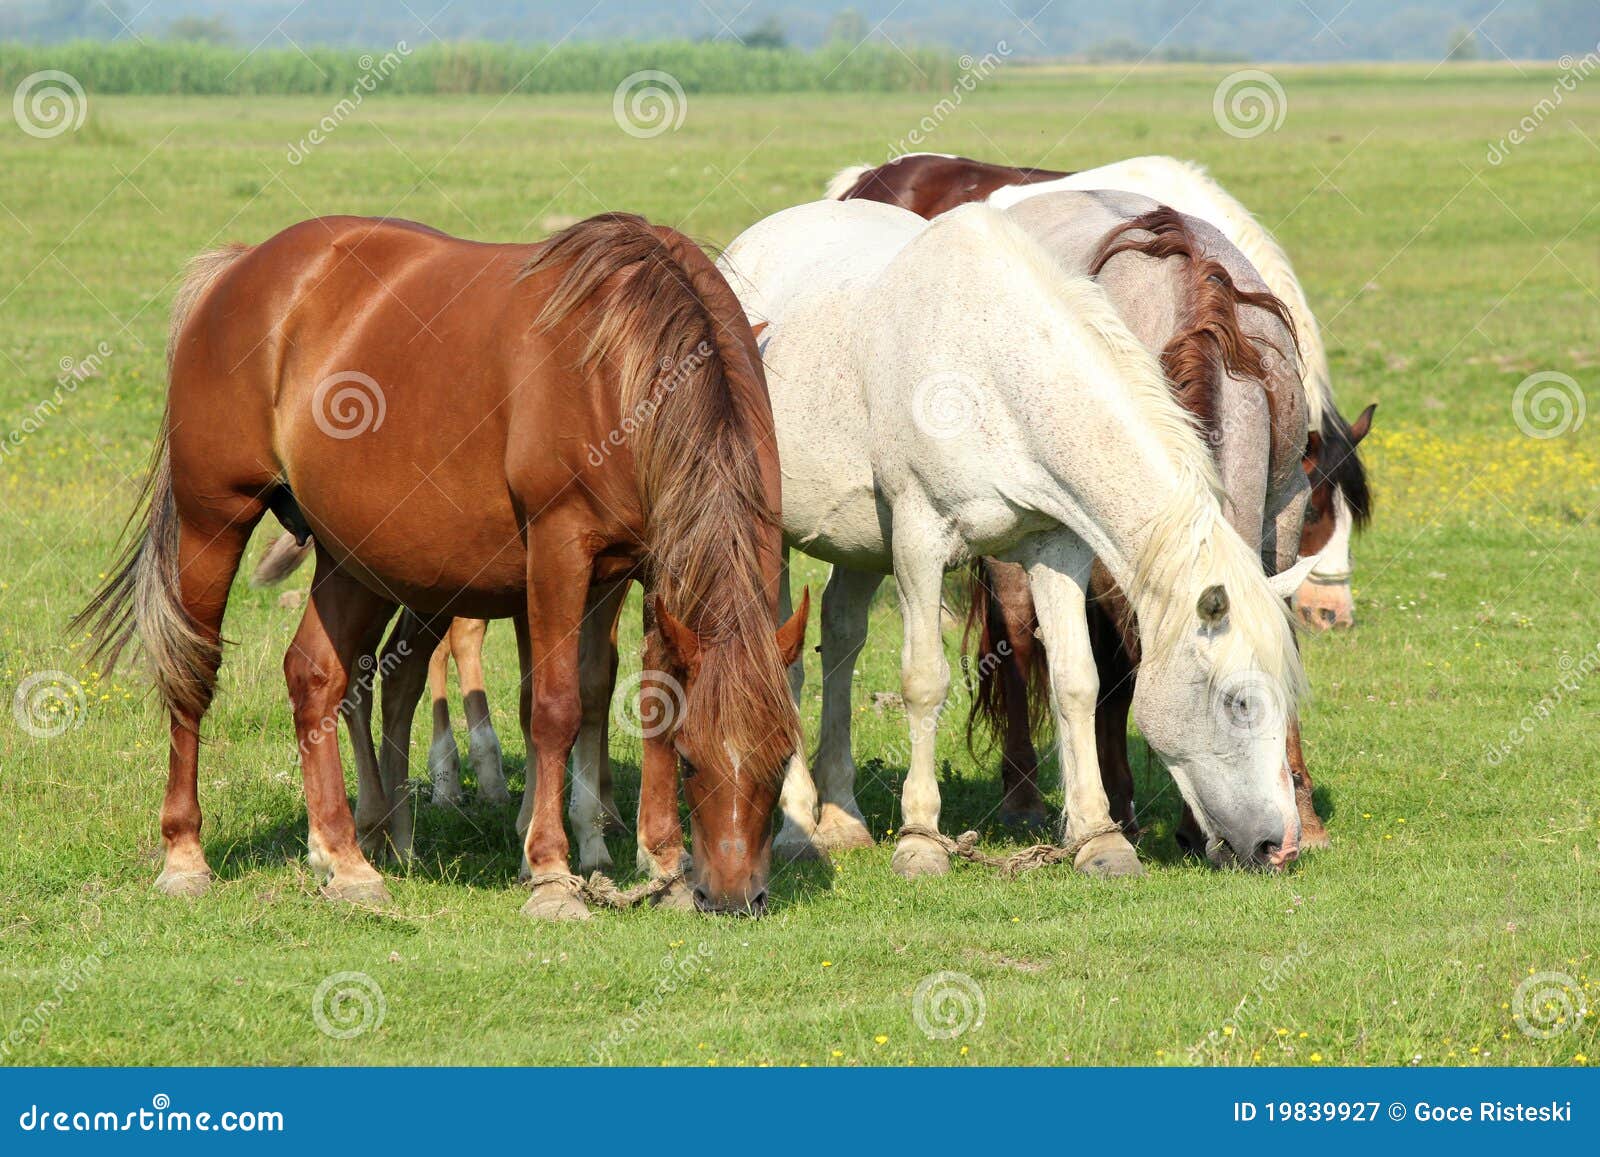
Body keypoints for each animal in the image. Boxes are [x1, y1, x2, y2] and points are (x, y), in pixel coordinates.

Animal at [73, 211, 808, 920]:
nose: (735, 896)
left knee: (317, 676)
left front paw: (662, 865)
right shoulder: (559, 552)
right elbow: (555, 708)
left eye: (781, 759)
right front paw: (550, 874)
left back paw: (346, 858)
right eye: (693, 764)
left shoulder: (650, 566)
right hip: (214, 523)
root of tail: (241, 267)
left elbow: (652, 699)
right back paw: (187, 854)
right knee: (193, 676)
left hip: (351, 557)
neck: (622, 365)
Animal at [686, 198, 1314, 877]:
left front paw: (1099, 838)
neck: (991, 372)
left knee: (842, 637)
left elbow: (1077, 680)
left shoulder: (1057, 546)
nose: (1279, 845)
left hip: (859, 543)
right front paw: (919, 839)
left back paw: (843, 818)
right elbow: (924, 682)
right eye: (1238, 702)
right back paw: (798, 829)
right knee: (785, 658)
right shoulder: (919, 539)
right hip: (770, 532)